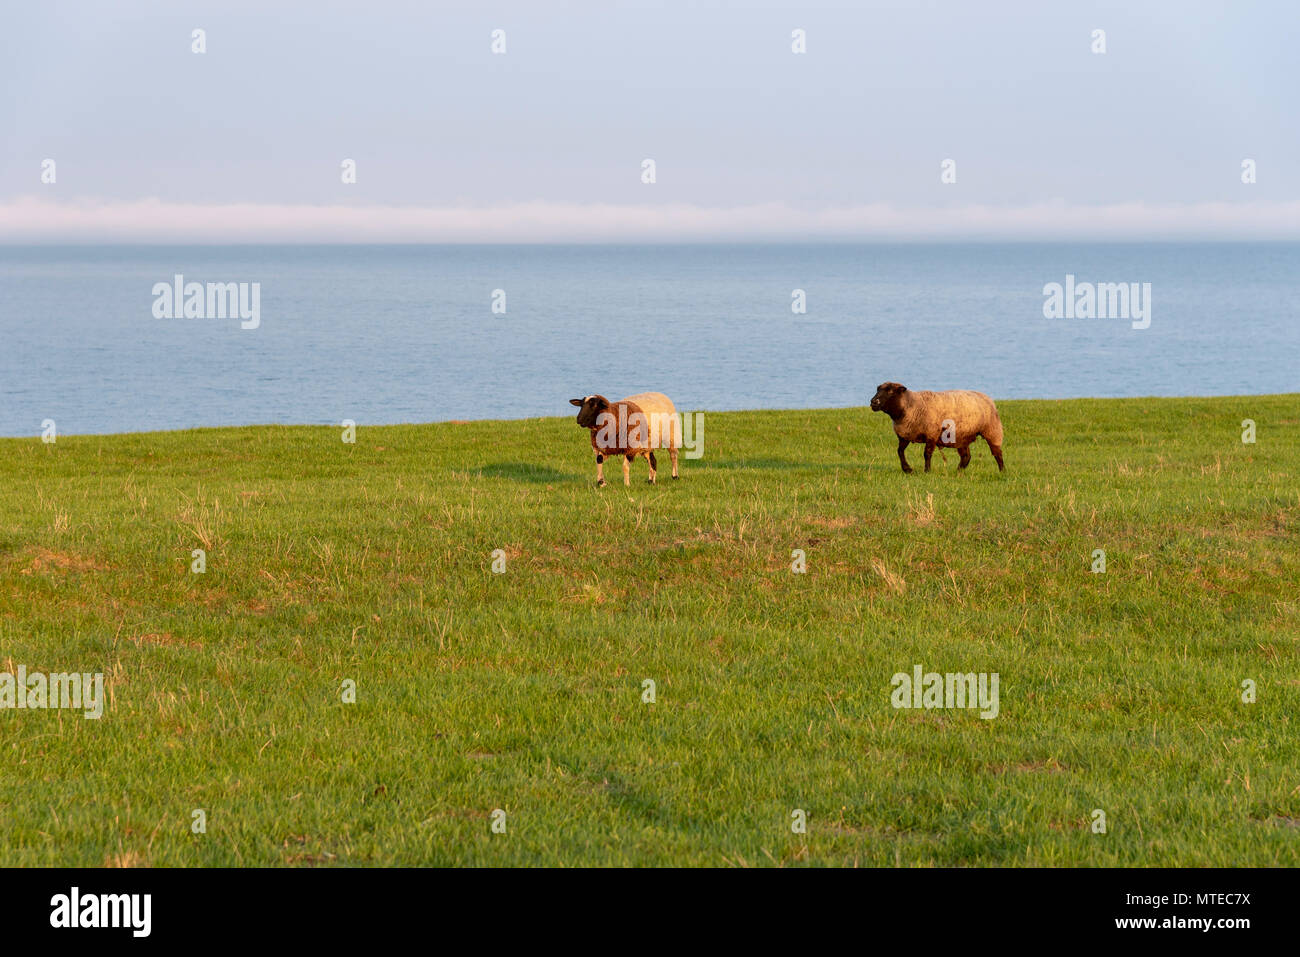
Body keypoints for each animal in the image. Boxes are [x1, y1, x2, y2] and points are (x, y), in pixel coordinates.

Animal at [870, 381, 1005, 473]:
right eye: (878, 389)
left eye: (890, 391)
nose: (873, 402)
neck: (912, 406)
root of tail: (986, 397)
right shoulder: (904, 436)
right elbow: (900, 451)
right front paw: (907, 469)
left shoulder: (932, 434)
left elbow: (927, 454)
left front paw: (927, 471)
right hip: (962, 435)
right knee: (966, 456)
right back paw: (958, 471)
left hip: (991, 430)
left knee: (997, 453)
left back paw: (1002, 471)